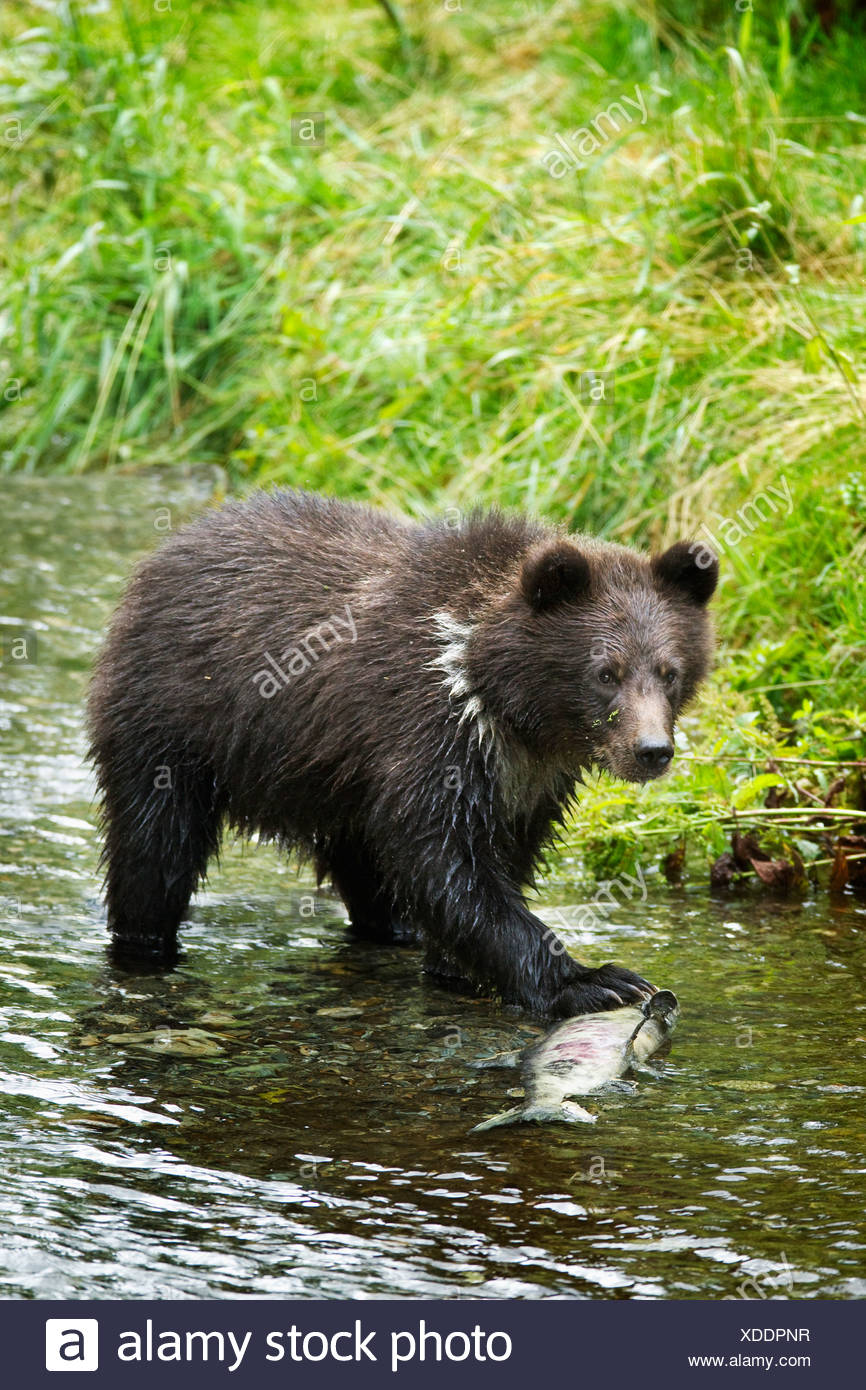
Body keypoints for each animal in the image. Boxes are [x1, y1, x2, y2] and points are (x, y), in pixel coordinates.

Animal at [87, 489, 718, 1018]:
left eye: (669, 671)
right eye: (605, 672)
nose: (652, 750)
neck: (497, 698)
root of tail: (168, 550)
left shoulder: (527, 779)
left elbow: (497, 856)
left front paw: (455, 964)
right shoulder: (424, 725)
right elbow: (442, 857)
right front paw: (595, 980)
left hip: (334, 780)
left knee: (361, 863)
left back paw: (394, 929)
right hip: (174, 724)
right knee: (155, 846)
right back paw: (145, 942)